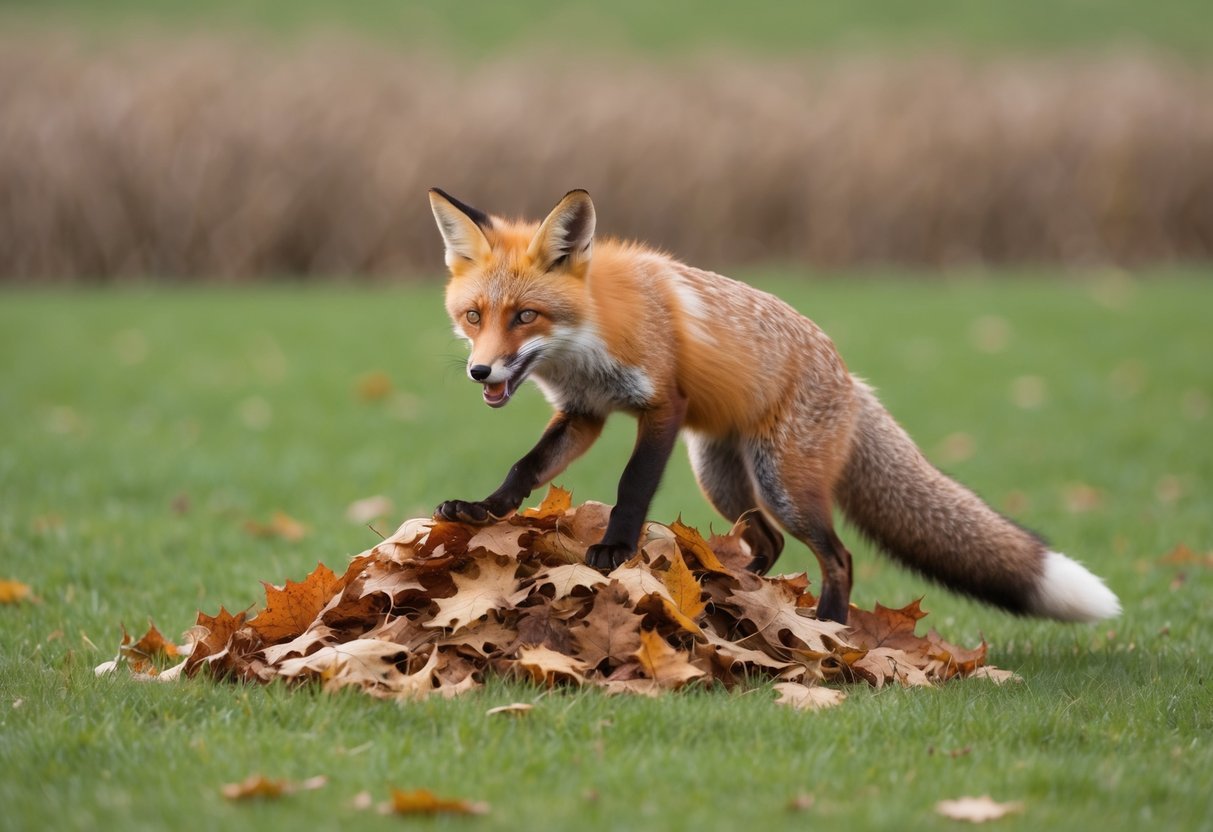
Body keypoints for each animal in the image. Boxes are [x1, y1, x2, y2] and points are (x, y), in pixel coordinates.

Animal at [428, 187, 1121, 625]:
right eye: (474, 316)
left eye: (525, 316)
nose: (480, 370)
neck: (589, 336)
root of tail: (851, 379)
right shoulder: (585, 412)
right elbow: (525, 468)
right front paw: (482, 509)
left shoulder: (662, 405)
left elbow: (632, 485)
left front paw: (614, 549)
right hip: (723, 479)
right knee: (769, 543)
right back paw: (732, 590)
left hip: (782, 482)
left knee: (837, 555)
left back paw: (830, 627)